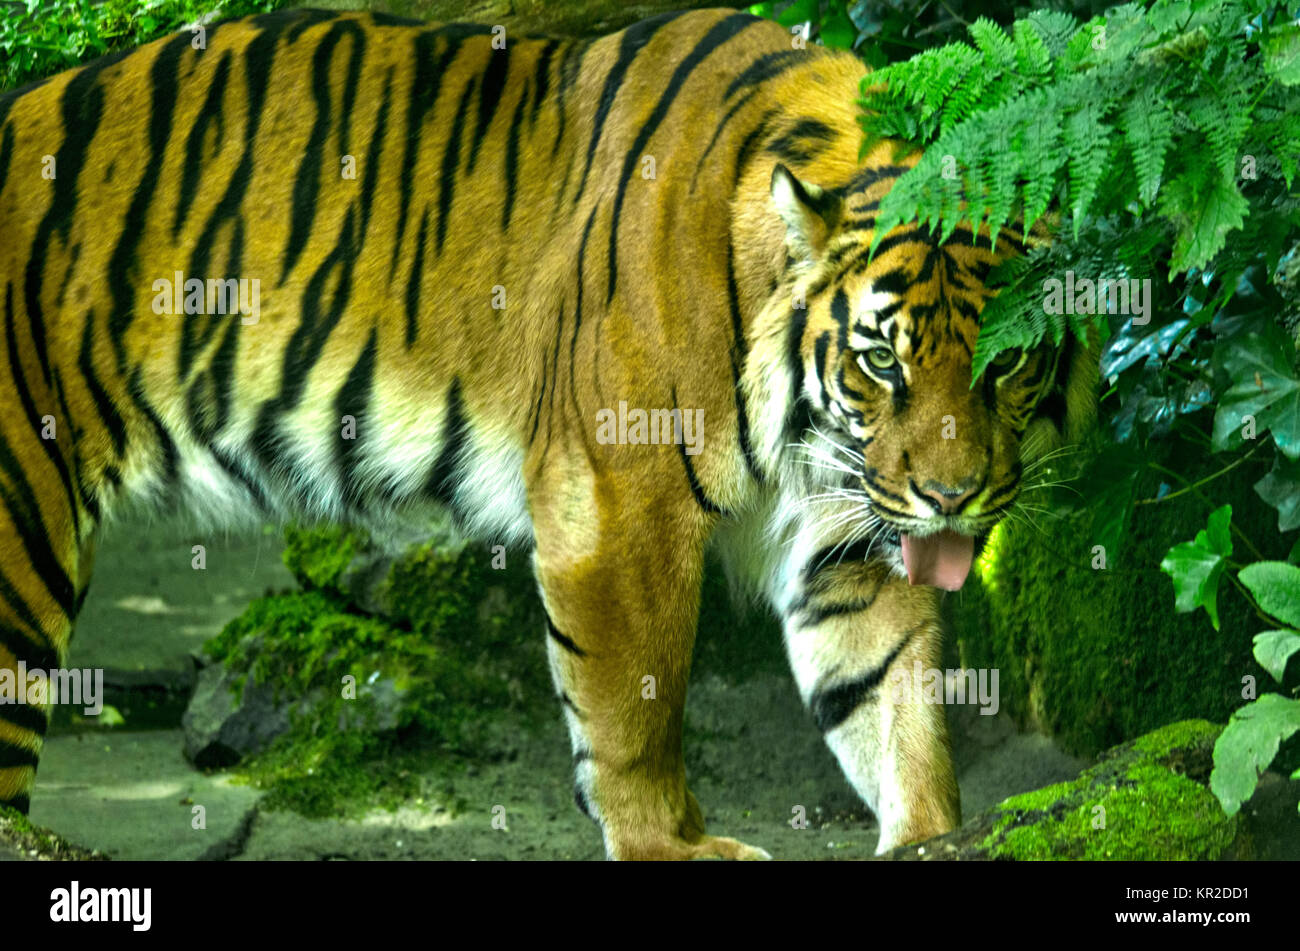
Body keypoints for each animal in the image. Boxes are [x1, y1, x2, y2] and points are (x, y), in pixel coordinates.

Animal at [0, 6, 1095, 860]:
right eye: (881, 363)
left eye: (1005, 366)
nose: (952, 498)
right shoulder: (616, 500)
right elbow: (632, 706)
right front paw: (668, 845)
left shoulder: (849, 523)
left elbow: (892, 691)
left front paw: (931, 832)